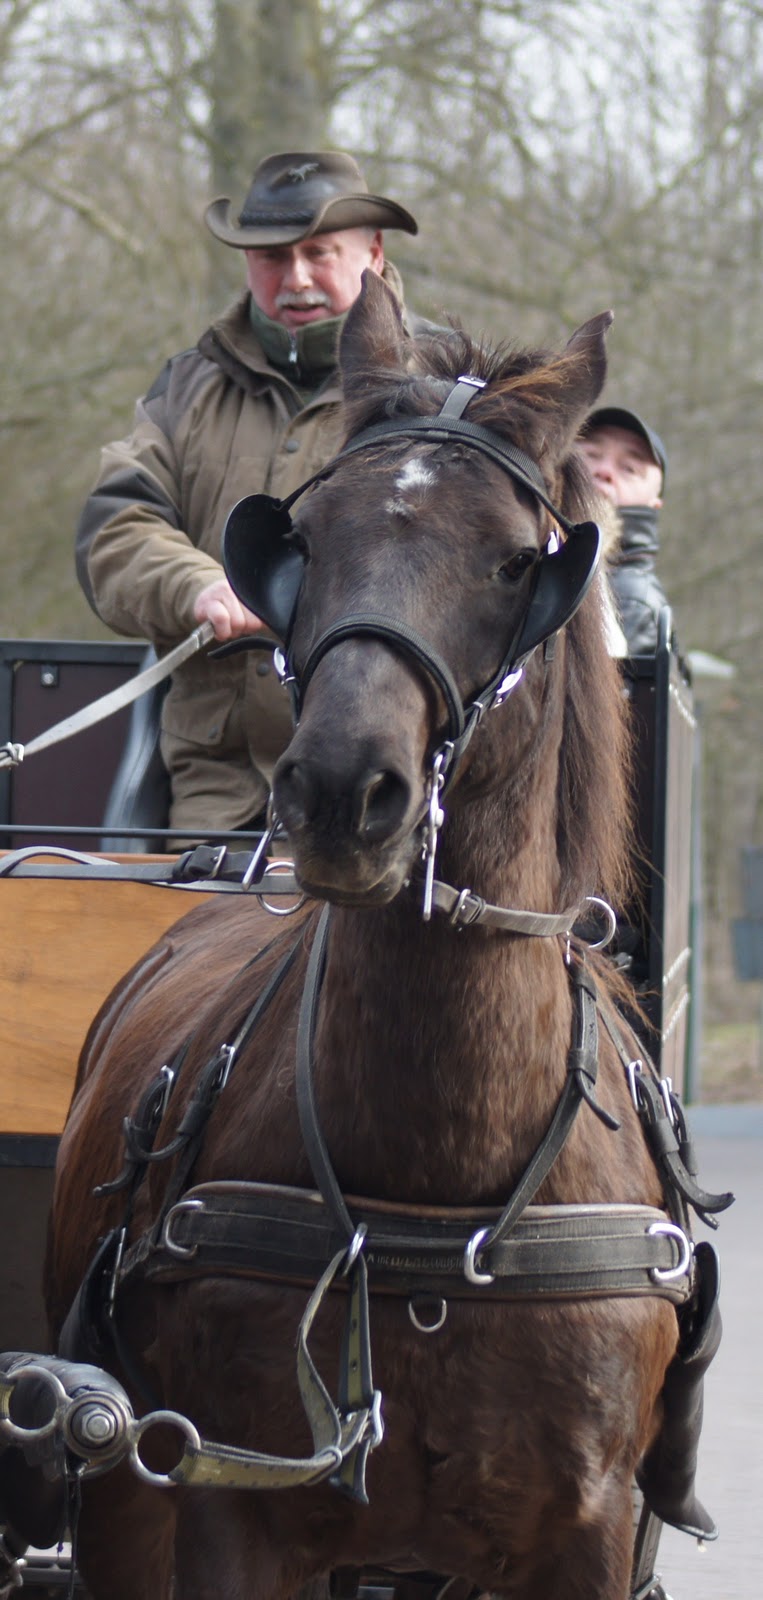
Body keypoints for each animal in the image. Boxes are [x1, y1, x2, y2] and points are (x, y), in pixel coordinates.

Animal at [44, 274, 686, 1600]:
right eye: (304, 540)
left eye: (517, 562)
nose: (343, 789)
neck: (437, 1189)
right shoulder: (228, 1506)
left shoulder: (588, 1529)